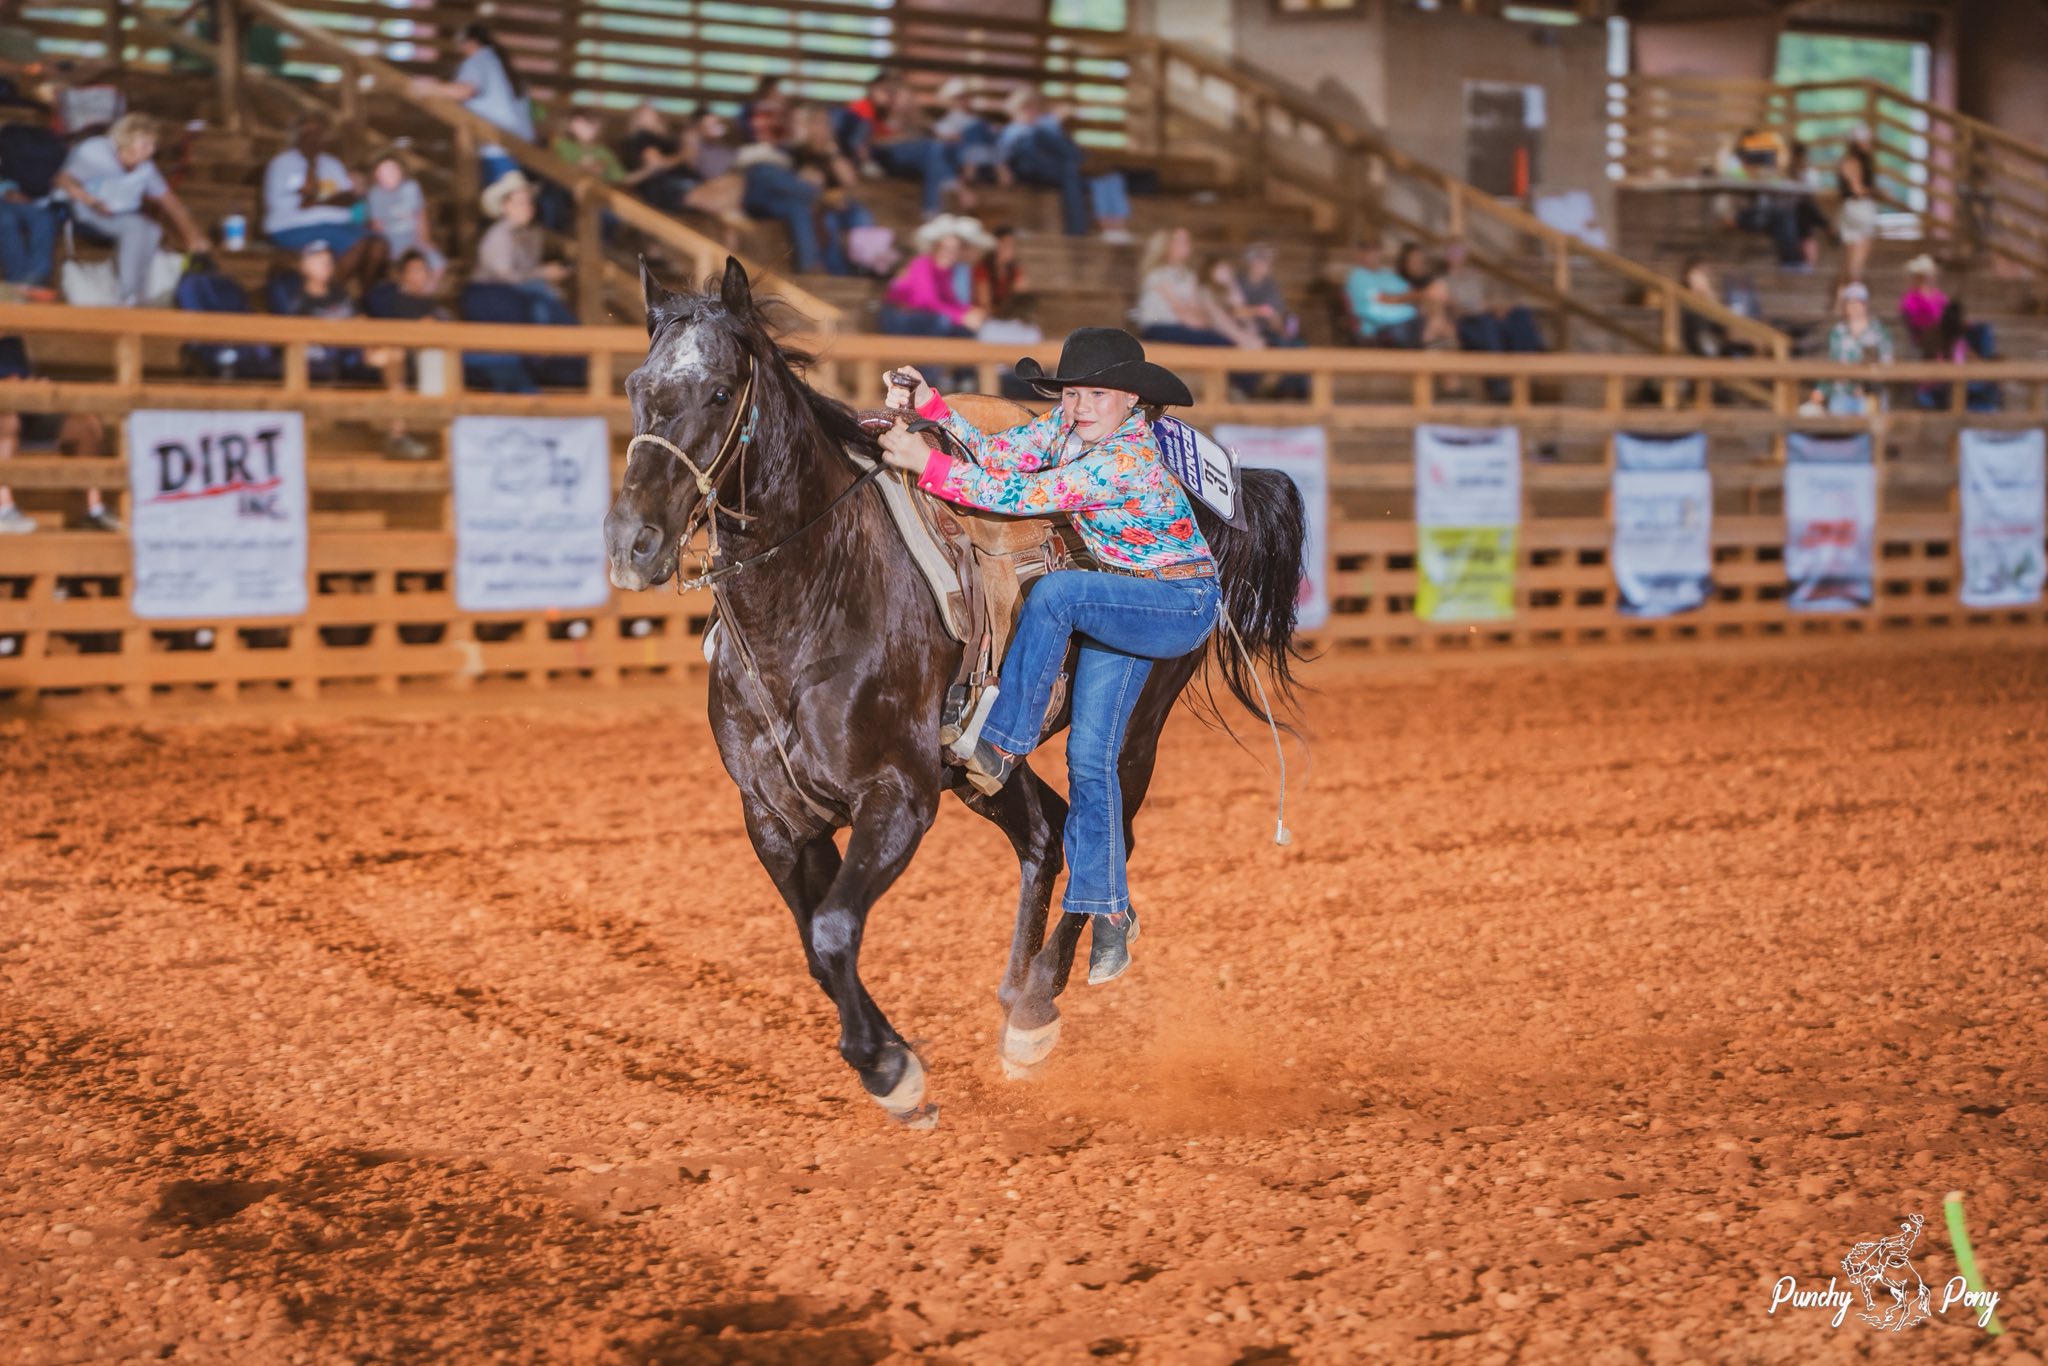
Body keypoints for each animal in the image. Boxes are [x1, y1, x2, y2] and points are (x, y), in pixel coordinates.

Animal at [602, 258, 1306, 1126]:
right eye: (637, 385)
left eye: (717, 391)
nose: (633, 544)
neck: (814, 597)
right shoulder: (774, 817)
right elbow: (818, 942)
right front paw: (893, 1061)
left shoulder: (899, 799)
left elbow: (834, 927)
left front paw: (891, 1071)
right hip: (982, 767)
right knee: (1047, 833)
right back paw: (1021, 989)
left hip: (1131, 725)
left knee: (1106, 828)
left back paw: (1040, 1006)